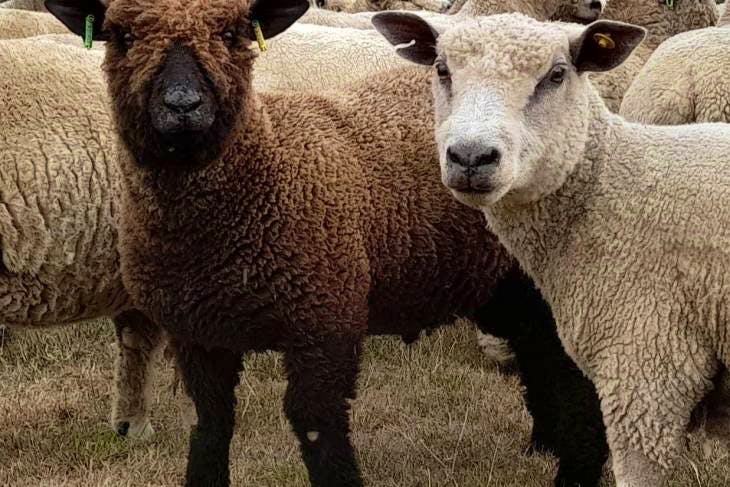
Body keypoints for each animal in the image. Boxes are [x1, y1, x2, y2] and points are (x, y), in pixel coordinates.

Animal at [44, 0, 610, 485]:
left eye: (232, 34)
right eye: (122, 35)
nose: (183, 105)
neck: (265, 168)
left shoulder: (324, 321)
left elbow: (316, 426)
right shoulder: (197, 332)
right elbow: (209, 423)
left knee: (569, 366)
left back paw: (578, 468)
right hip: (497, 282)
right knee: (538, 351)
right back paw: (543, 447)